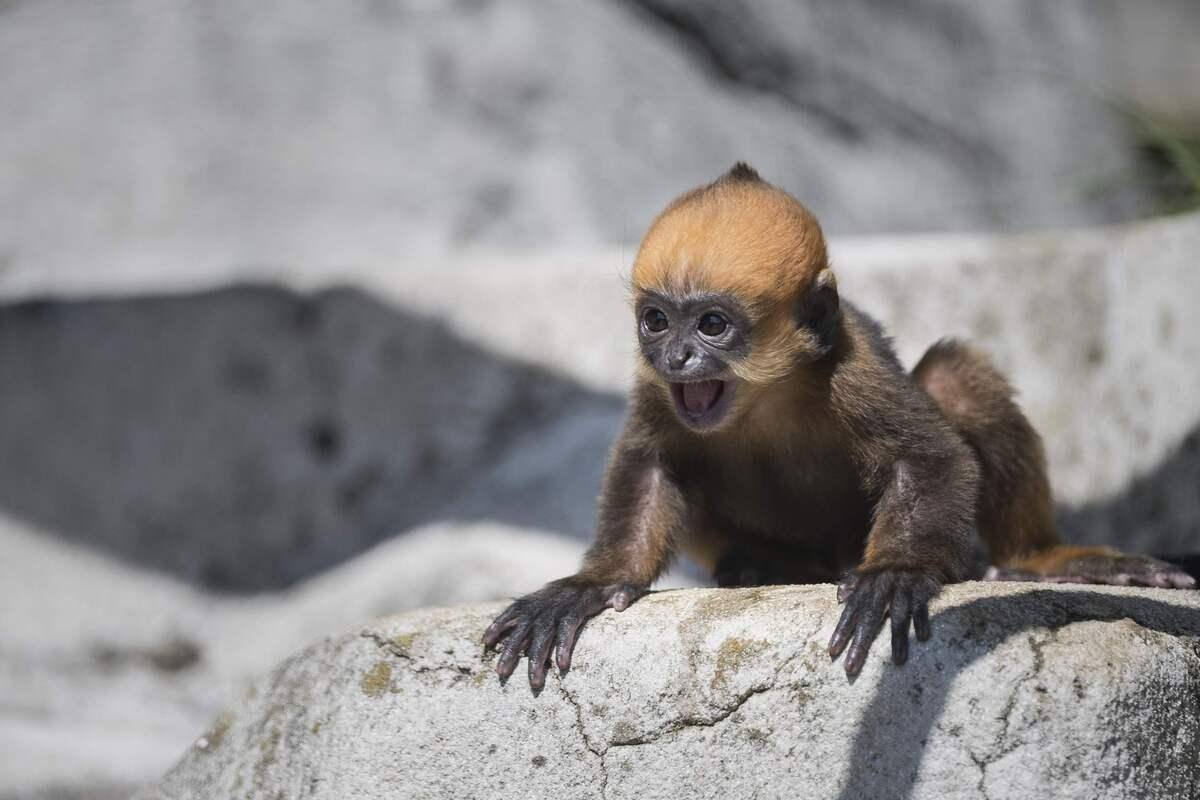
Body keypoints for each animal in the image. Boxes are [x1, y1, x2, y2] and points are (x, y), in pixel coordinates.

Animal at [483, 163, 1196, 691]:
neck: (762, 398)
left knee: (954, 375)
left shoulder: (852, 370)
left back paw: (1036, 559)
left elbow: (930, 458)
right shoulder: (659, 392)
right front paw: (592, 585)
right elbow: (649, 465)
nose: (676, 357)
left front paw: (897, 573)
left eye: (711, 324)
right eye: (656, 321)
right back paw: (757, 565)